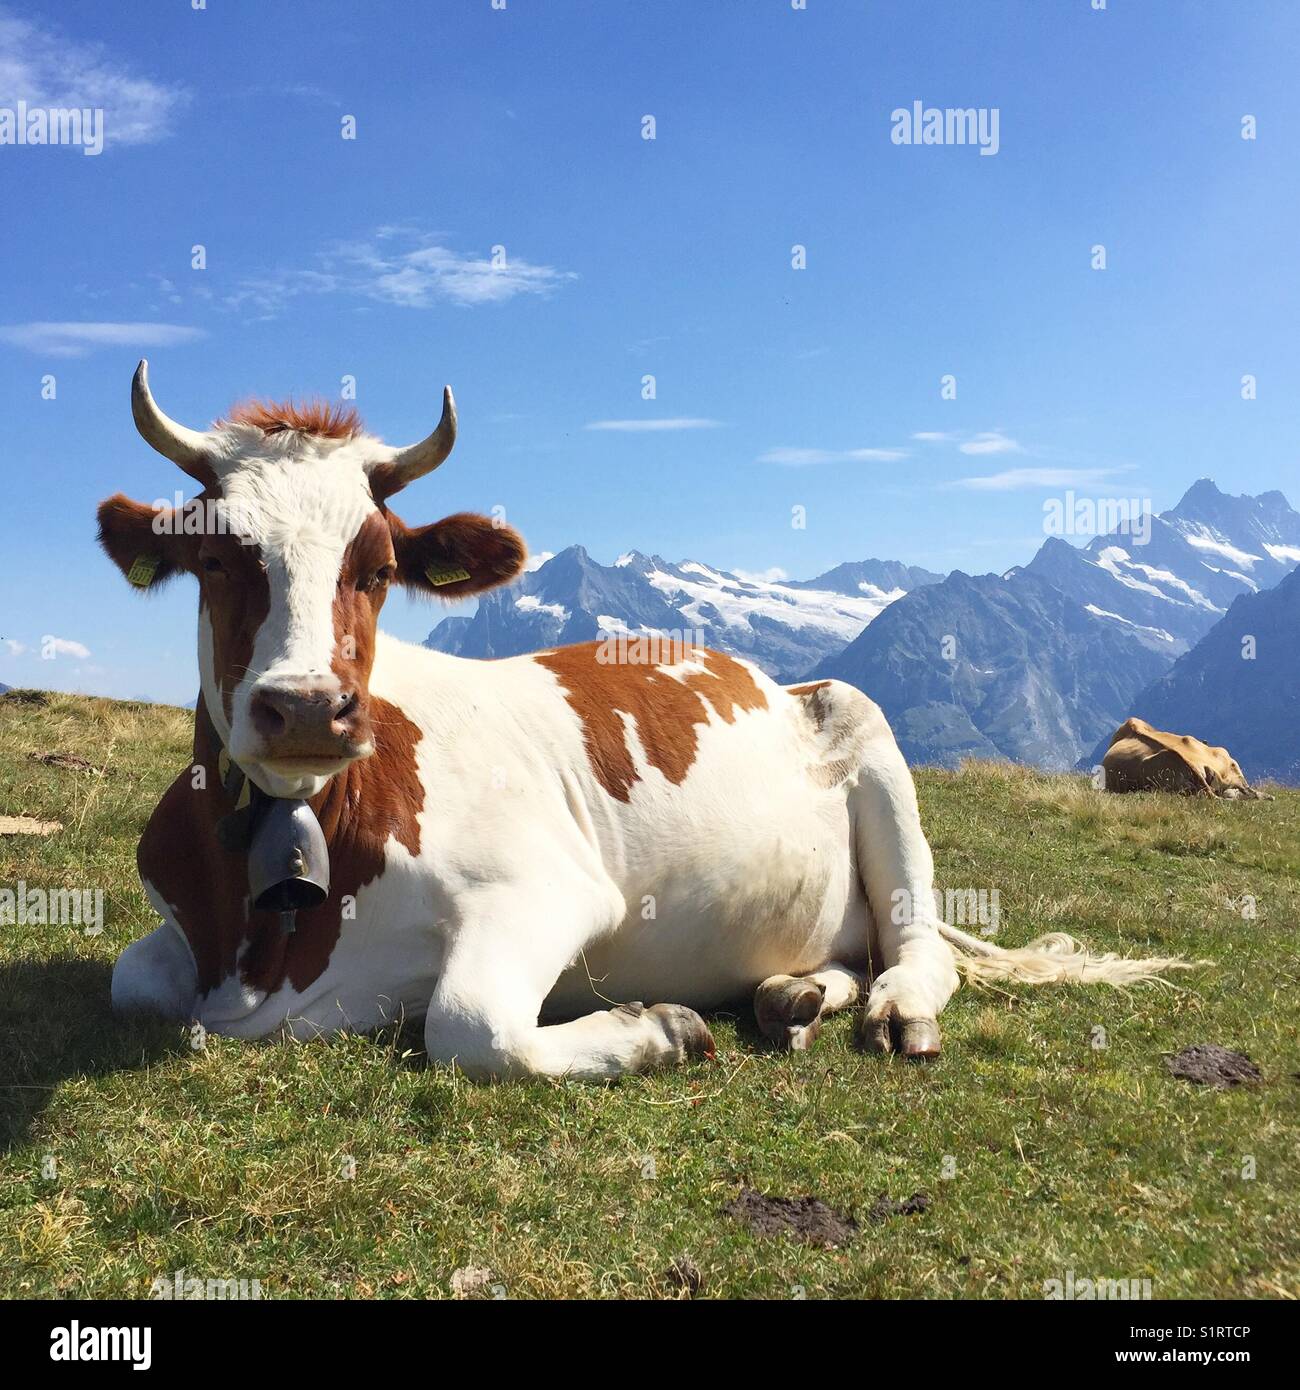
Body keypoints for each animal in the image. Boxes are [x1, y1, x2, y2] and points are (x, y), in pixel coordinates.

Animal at [100, 363, 1192, 1080]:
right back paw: (792, 994)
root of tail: (771, 677)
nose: (305, 708)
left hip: (870, 735)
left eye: (376, 570)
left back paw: (892, 1009)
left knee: (918, 945)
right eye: (215, 558)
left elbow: (470, 1027)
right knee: (850, 951)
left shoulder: (550, 890)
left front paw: (657, 1030)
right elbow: (131, 976)